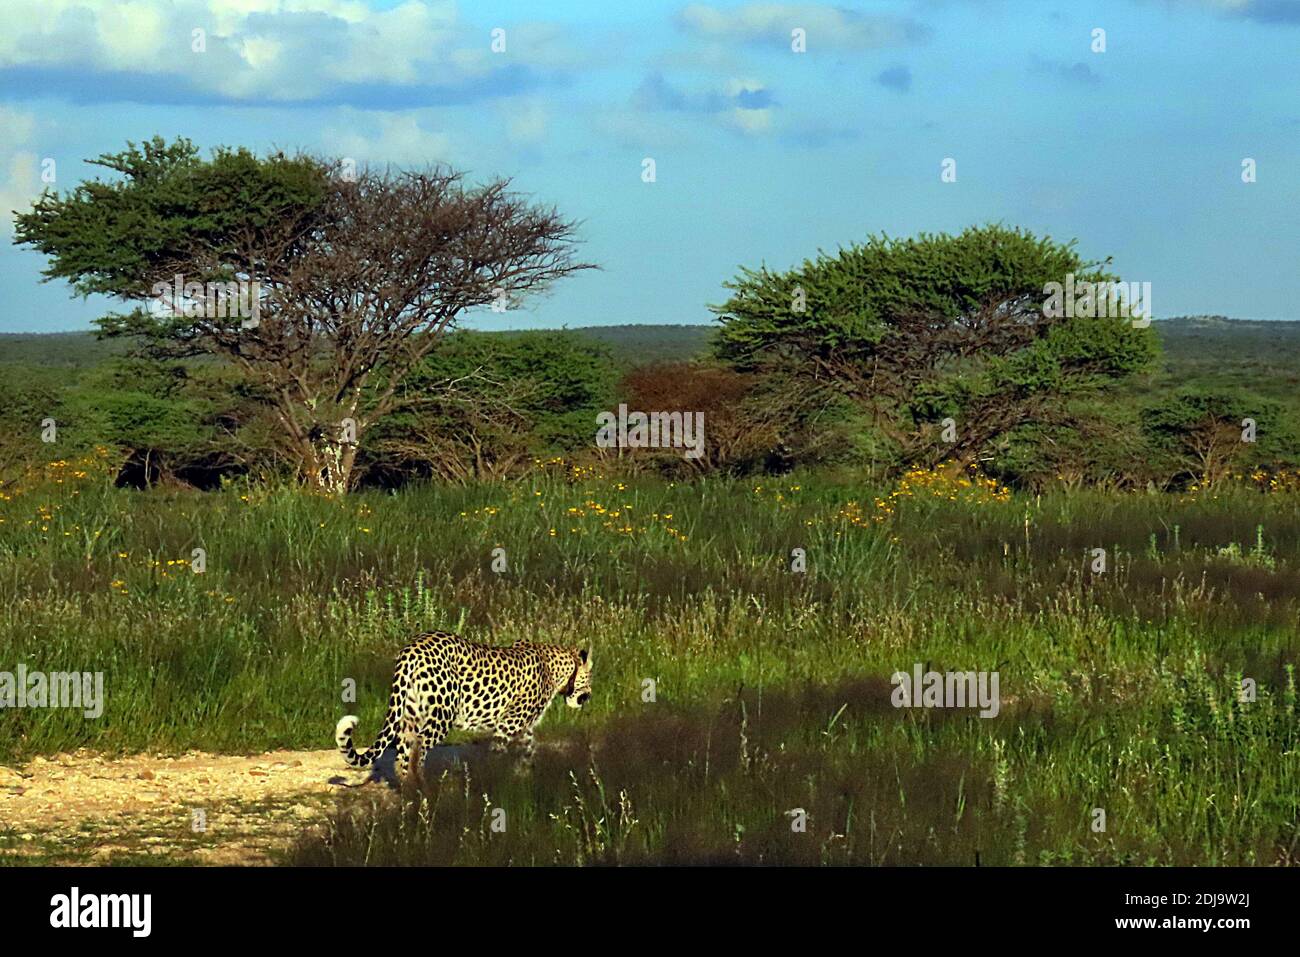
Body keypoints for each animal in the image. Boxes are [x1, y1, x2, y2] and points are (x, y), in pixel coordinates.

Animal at [335, 630, 592, 780]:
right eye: (590, 676)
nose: (588, 695)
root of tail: (412, 648)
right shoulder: (508, 724)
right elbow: (498, 753)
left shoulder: (523, 726)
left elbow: (529, 750)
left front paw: (524, 778)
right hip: (442, 714)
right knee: (418, 748)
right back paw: (424, 789)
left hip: (409, 714)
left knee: (403, 756)